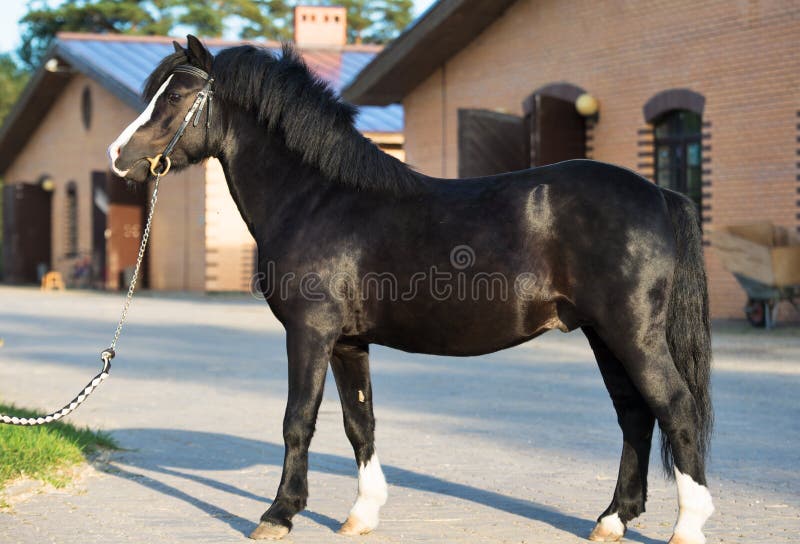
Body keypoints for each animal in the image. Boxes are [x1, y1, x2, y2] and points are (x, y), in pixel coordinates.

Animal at [108, 35, 714, 543]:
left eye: (176, 95)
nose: (117, 157)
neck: (318, 199)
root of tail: (659, 193)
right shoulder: (347, 342)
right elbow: (359, 423)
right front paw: (361, 514)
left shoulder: (309, 333)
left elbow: (297, 420)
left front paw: (279, 514)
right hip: (602, 334)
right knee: (635, 415)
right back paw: (612, 520)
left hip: (630, 331)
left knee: (675, 407)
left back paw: (687, 525)